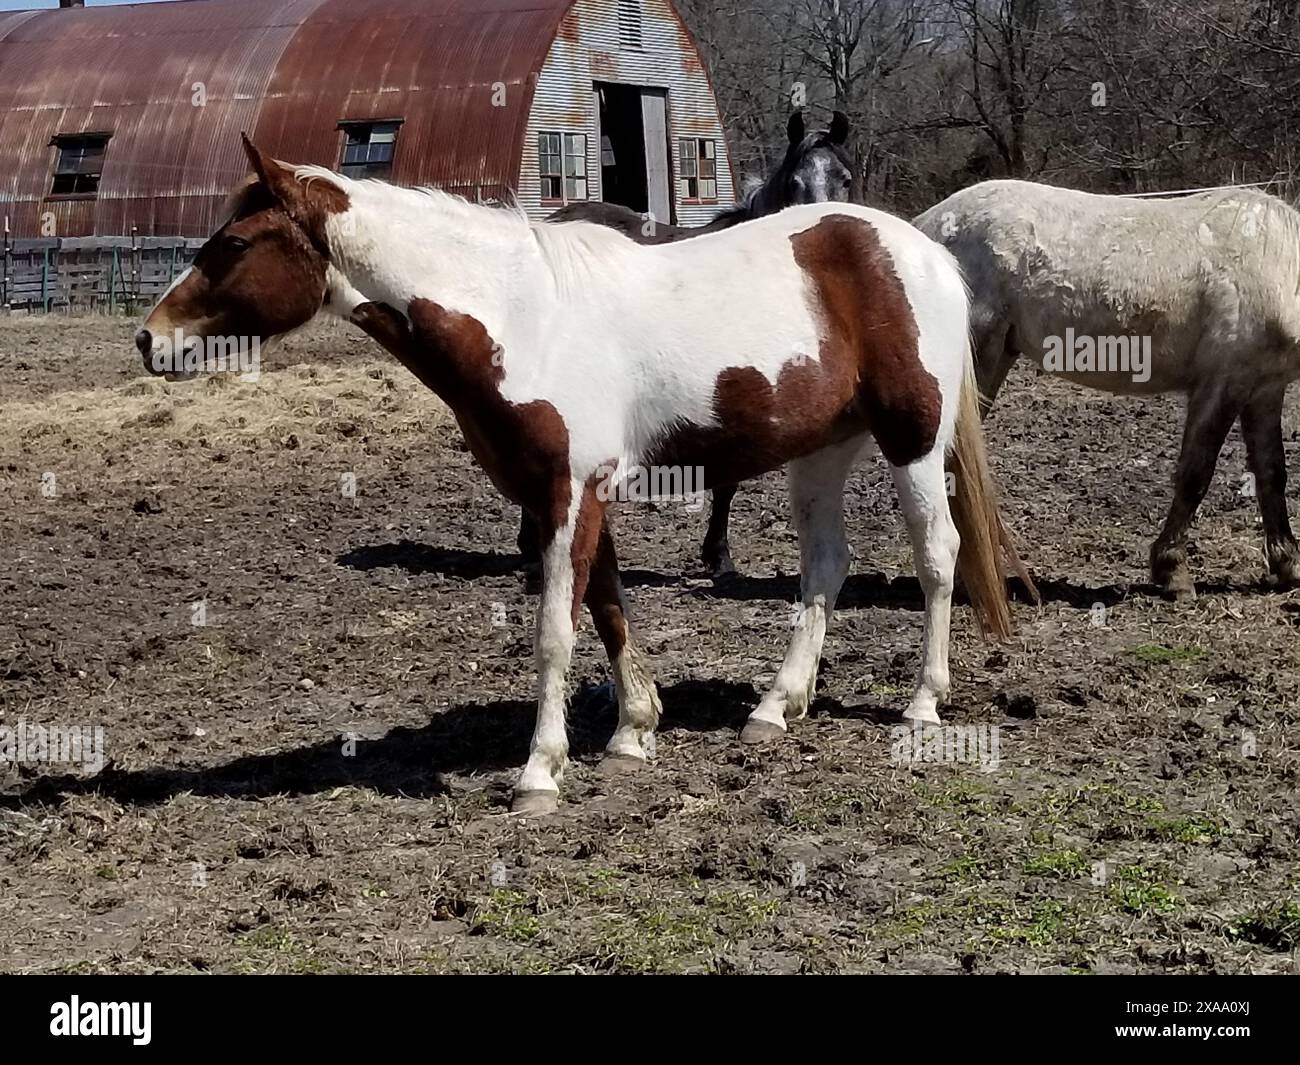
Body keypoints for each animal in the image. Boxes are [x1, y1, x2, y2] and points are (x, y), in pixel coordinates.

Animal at [915, 179, 1300, 597]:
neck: (1277, 263)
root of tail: (925, 225)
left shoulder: (1263, 388)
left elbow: (1271, 472)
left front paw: (1288, 565)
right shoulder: (1221, 384)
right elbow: (1196, 473)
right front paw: (1173, 571)